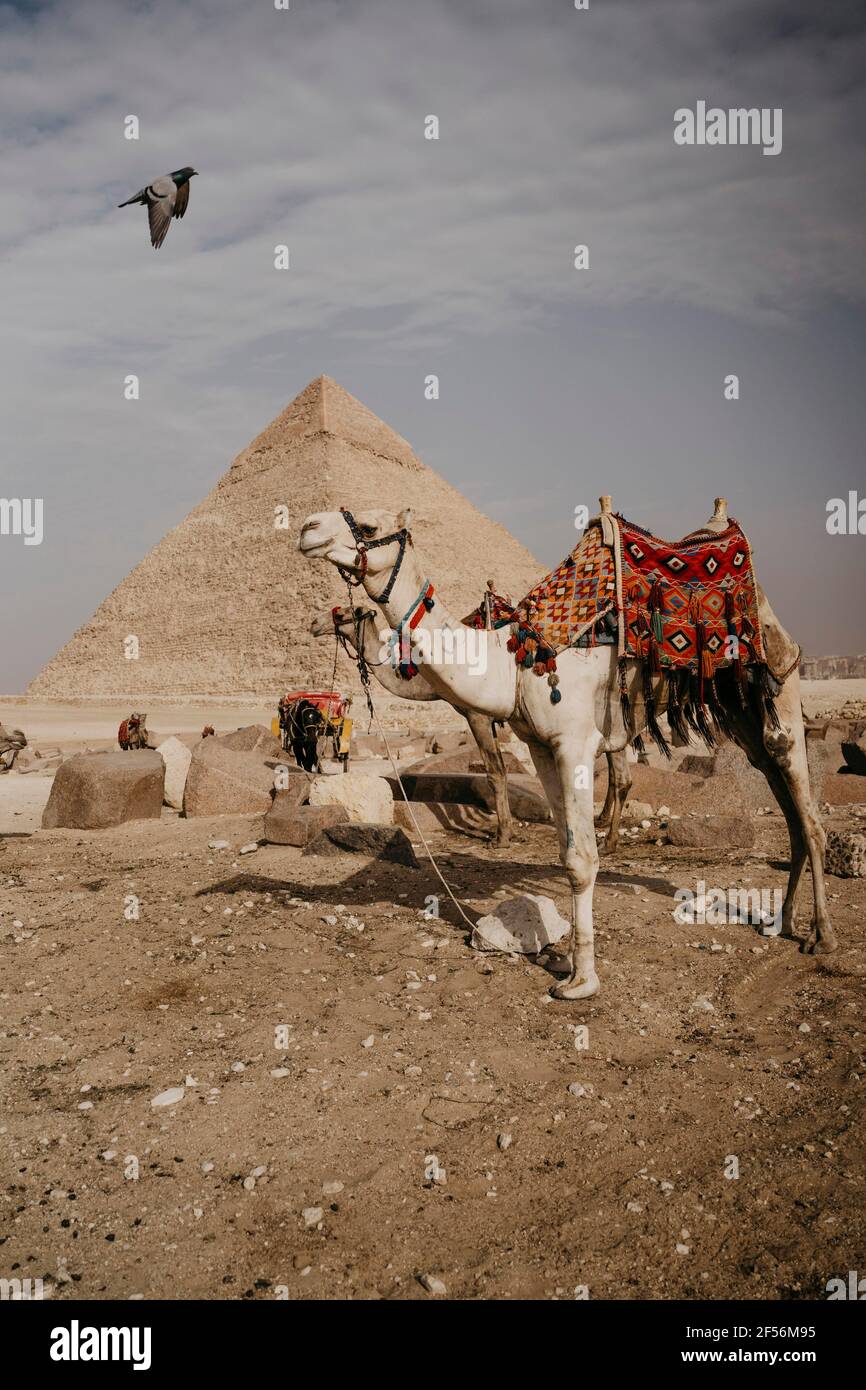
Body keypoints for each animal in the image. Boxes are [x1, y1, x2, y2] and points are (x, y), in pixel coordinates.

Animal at [299, 499, 834, 1000]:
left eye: (369, 526)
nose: (306, 528)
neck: (509, 661)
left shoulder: (568, 741)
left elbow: (578, 858)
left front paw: (581, 979)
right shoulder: (539, 746)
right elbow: (564, 850)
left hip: (779, 678)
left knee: (805, 808)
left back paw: (821, 935)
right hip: (739, 707)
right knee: (781, 797)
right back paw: (782, 921)